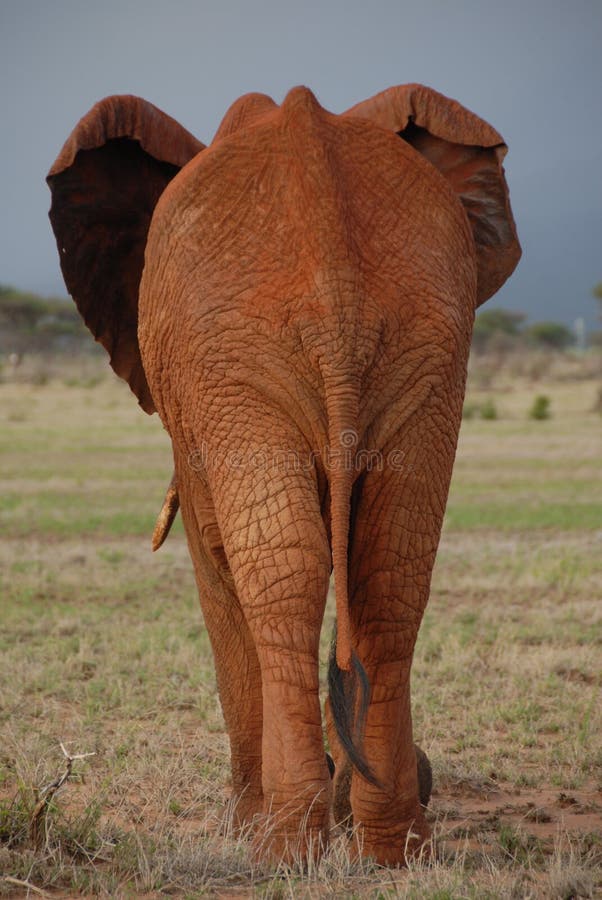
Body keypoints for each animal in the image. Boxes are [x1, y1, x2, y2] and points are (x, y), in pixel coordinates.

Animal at [47, 83, 520, 865]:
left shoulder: (202, 399)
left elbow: (213, 562)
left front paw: (242, 823)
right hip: (427, 343)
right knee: (390, 573)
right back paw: (394, 847)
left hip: (236, 362)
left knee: (278, 570)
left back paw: (280, 846)